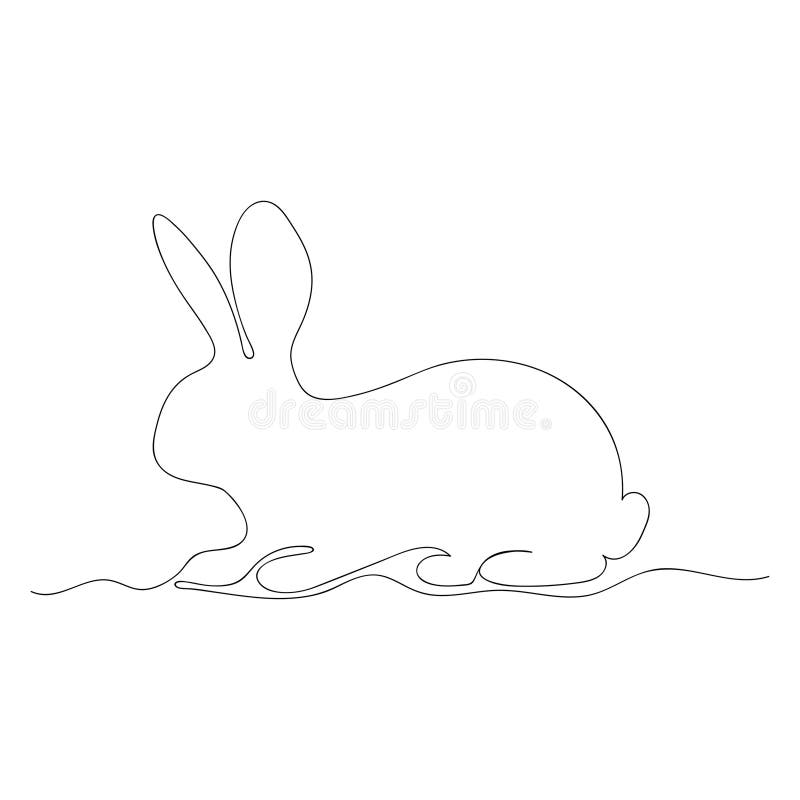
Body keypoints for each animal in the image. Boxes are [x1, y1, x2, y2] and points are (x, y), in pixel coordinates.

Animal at [152, 201, 649, 594]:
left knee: (572, 563)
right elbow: (243, 550)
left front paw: (287, 575)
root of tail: (611, 512)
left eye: (201, 408)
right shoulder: (263, 531)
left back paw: (494, 570)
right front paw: (205, 568)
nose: (159, 454)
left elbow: (326, 556)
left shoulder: (354, 530)